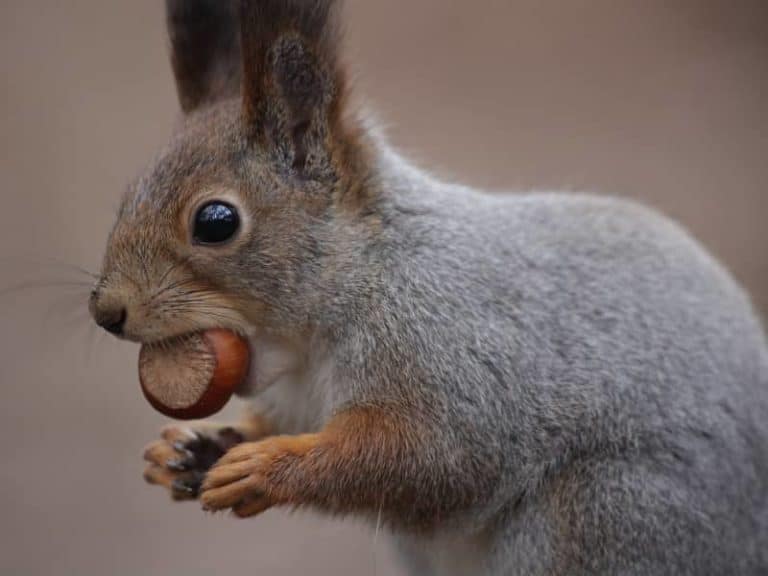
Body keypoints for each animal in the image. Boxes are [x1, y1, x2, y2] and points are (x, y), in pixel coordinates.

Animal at [88, 1, 768, 574]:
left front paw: (267, 468)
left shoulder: (448, 351)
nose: (106, 311)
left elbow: (431, 457)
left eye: (216, 221)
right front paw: (193, 450)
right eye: (128, 194)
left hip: (609, 512)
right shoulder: (299, 398)